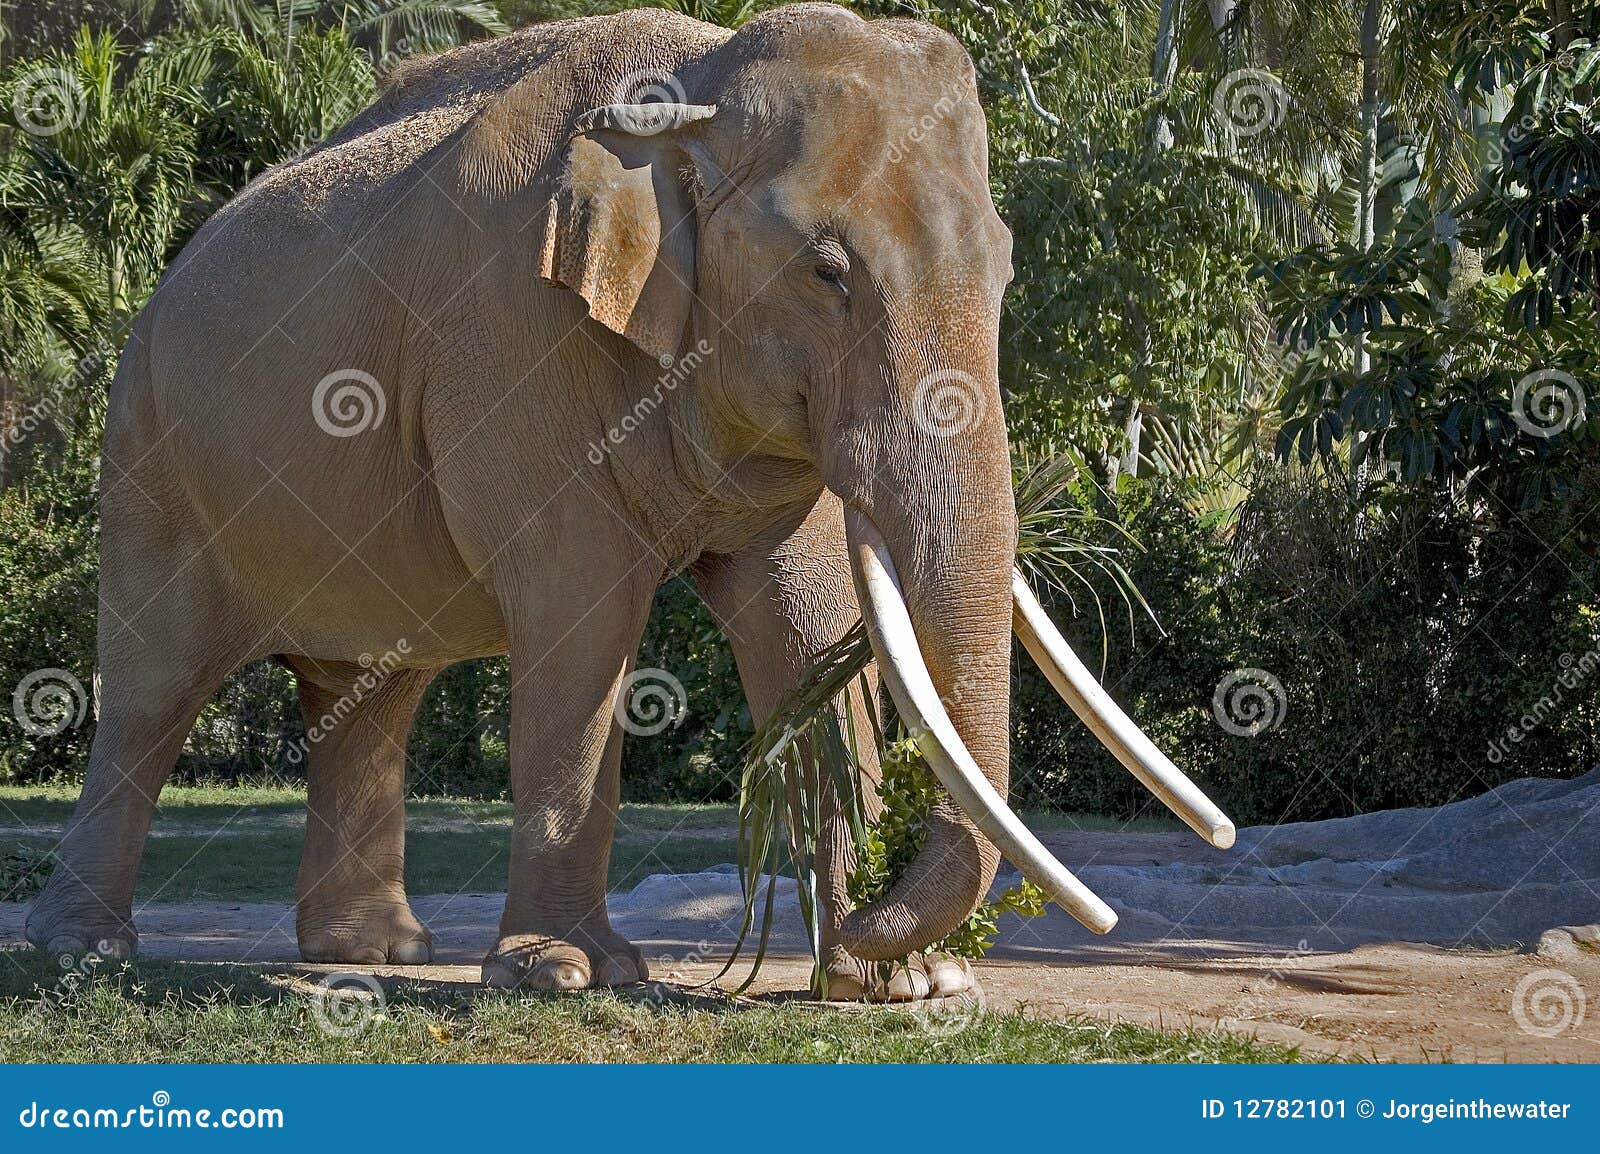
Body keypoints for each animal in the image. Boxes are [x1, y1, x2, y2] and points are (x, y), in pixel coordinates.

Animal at [25, 3, 1232, 1000]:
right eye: (827, 272)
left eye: (1007, 268)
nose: (884, 911)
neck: (689, 90)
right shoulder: (516, 345)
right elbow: (583, 615)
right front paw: (565, 976)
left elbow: (807, 626)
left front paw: (907, 984)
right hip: (149, 457)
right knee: (152, 688)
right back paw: (85, 952)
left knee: (374, 692)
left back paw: (376, 953)